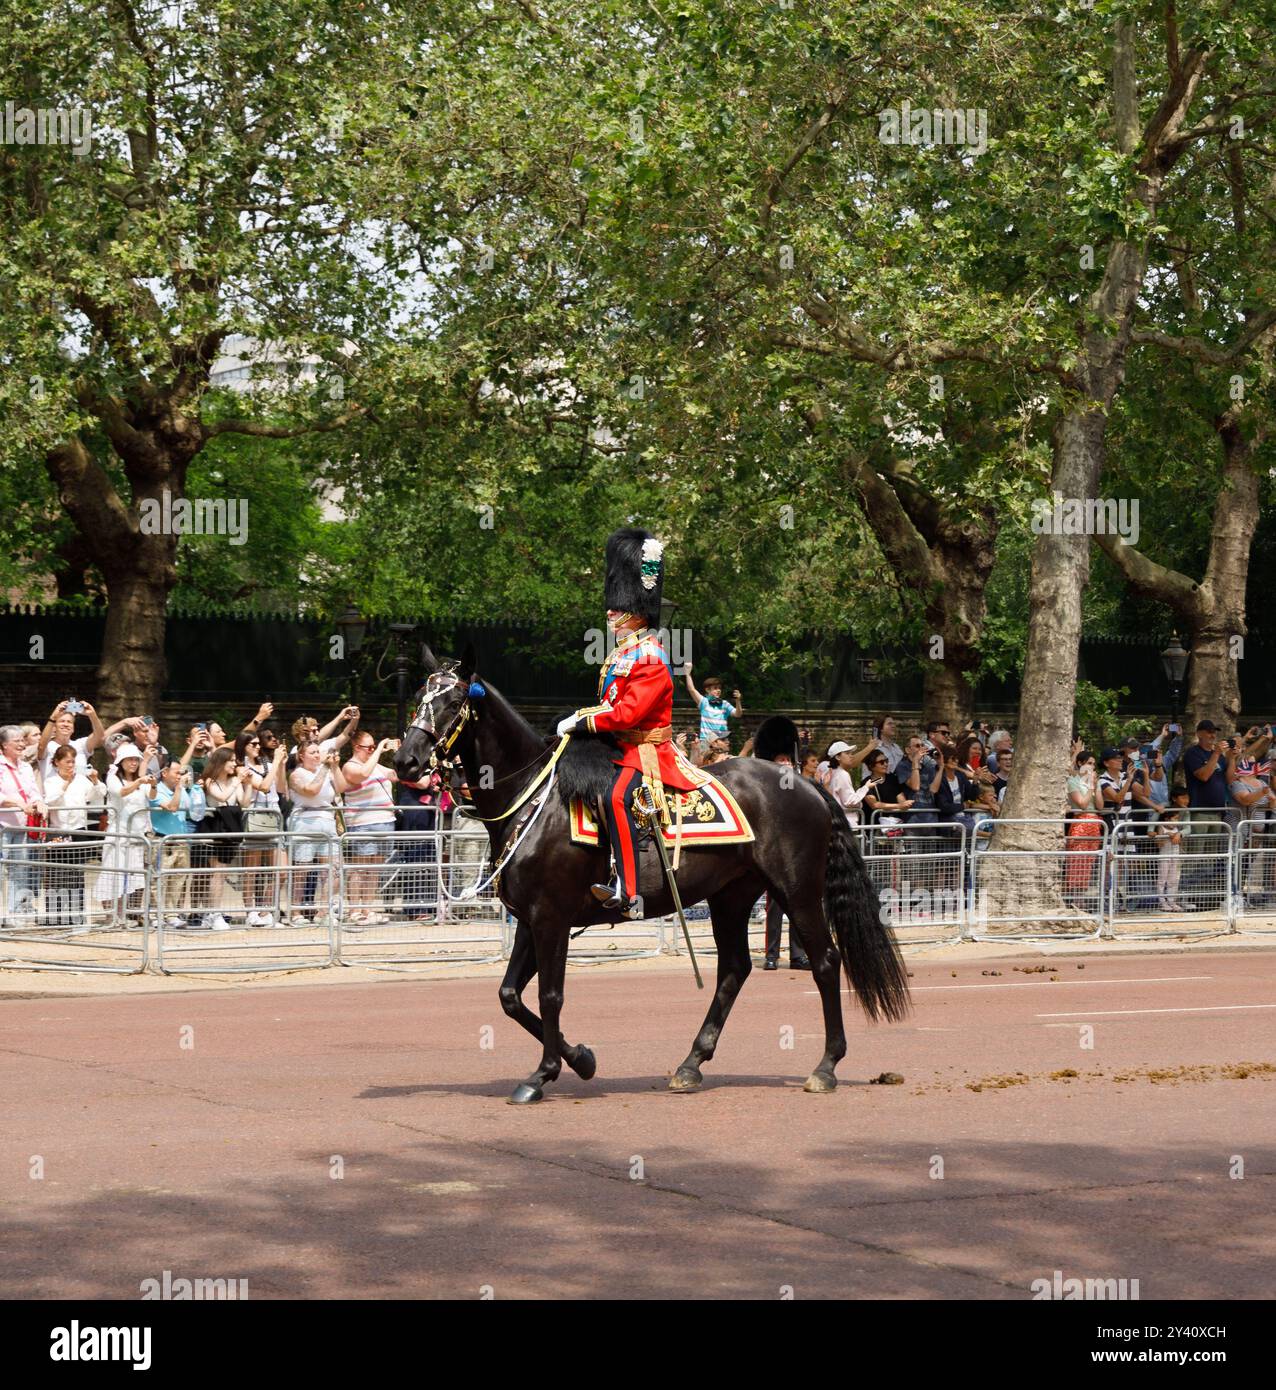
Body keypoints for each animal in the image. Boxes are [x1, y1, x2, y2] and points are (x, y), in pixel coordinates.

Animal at [395, 644, 910, 1104]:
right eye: (420, 695)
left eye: (454, 702)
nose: (405, 761)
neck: (530, 796)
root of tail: (806, 783)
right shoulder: (530, 918)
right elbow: (510, 996)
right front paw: (581, 1059)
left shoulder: (550, 917)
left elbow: (549, 995)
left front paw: (544, 1074)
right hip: (731, 896)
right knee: (734, 970)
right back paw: (691, 1064)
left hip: (797, 891)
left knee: (825, 961)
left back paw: (825, 1066)